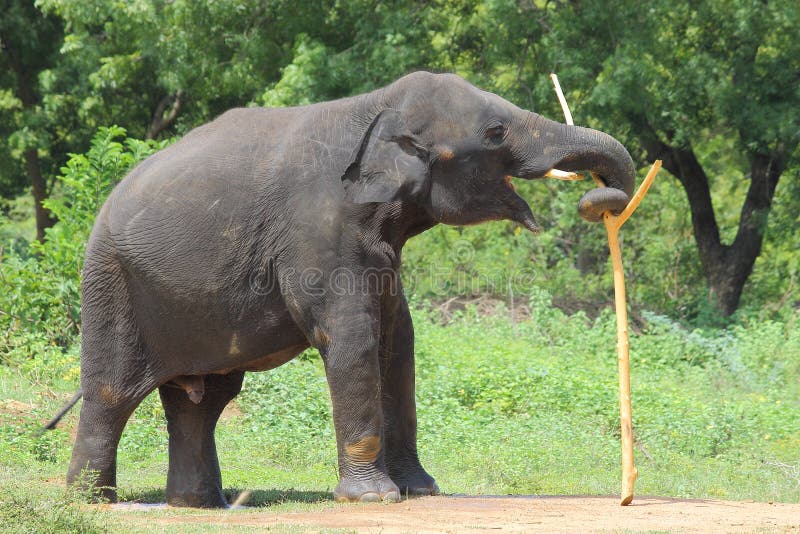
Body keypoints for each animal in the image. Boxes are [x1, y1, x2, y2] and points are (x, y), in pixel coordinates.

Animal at [65, 71, 635, 507]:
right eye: (496, 132)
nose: (596, 201)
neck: (377, 106)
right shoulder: (317, 230)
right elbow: (352, 337)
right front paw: (374, 498)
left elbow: (398, 344)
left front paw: (420, 491)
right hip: (111, 281)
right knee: (111, 392)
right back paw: (91, 502)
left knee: (202, 401)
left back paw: (200, 504)